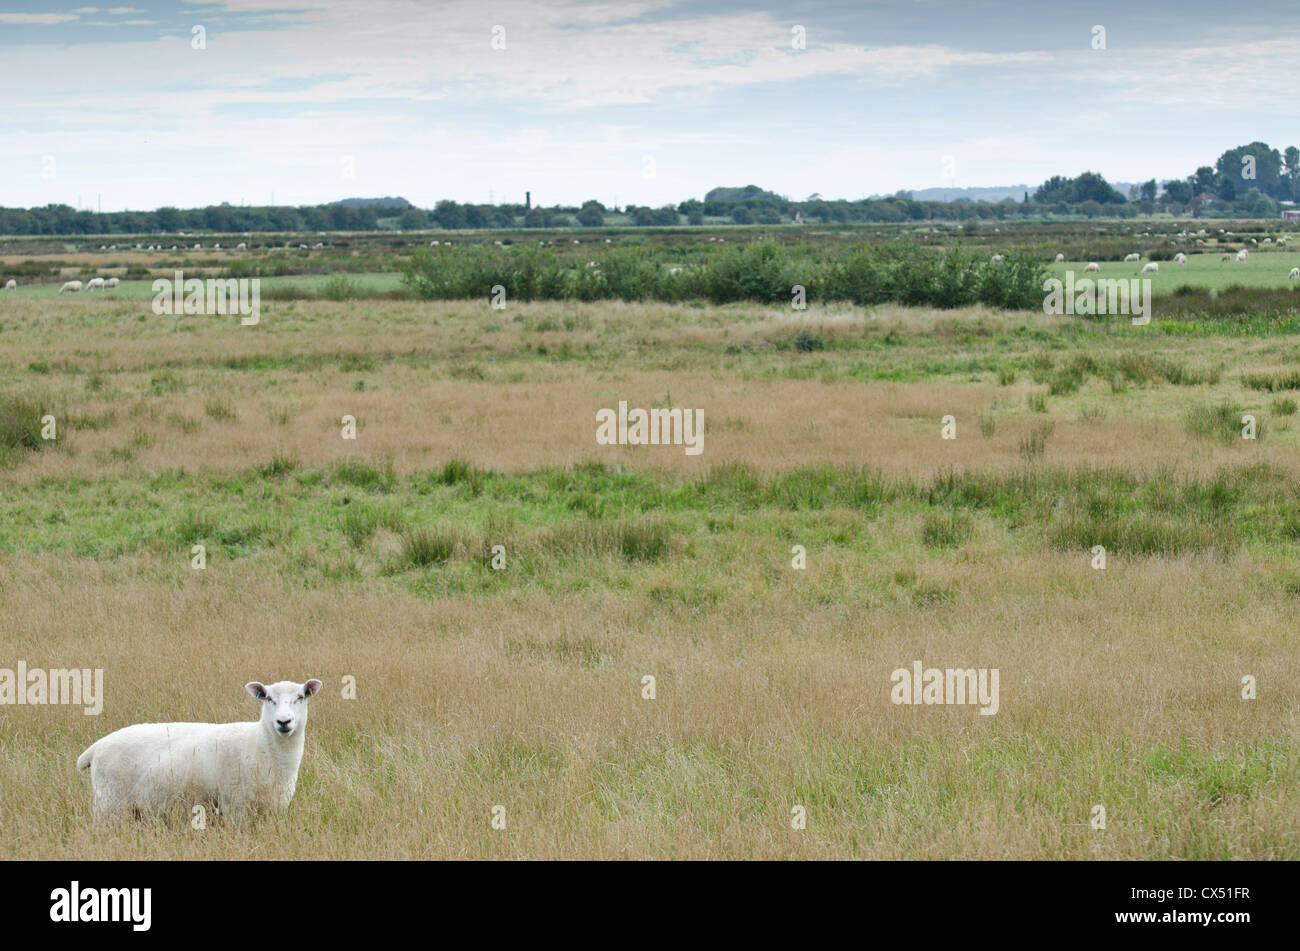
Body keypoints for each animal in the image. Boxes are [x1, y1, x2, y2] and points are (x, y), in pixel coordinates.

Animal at [76, 677, 322, 824]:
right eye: (269, 698)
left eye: (300, 697)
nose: (284, 722)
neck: (260, 743)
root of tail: (96, 748)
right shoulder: (234, 806)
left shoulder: (272, 809)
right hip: (109, 805)